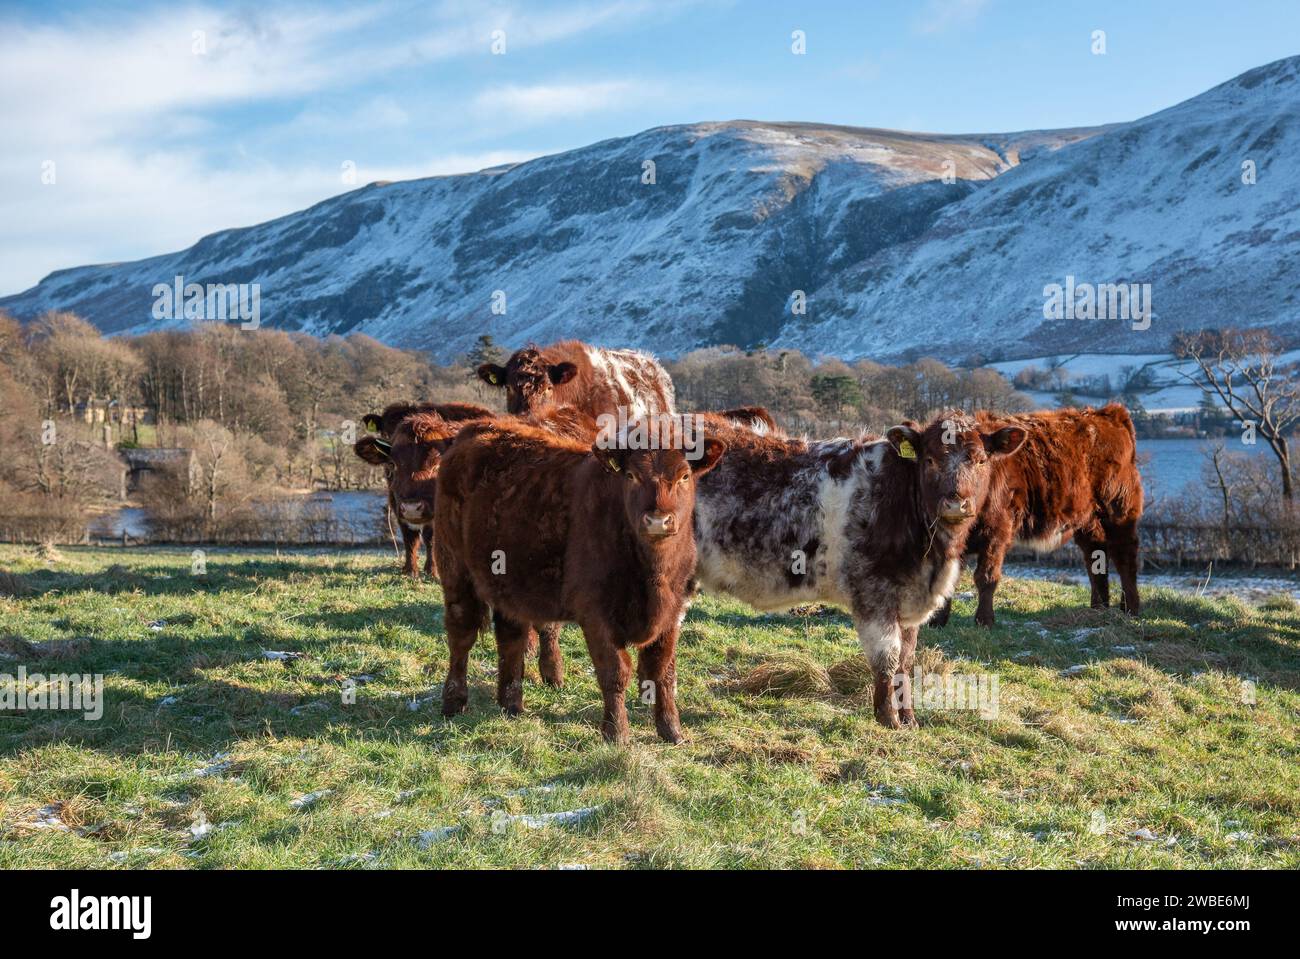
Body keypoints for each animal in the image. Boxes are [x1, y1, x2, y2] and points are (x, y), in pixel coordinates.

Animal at [354, 401, 494, 578]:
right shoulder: (397, 503)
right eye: (393, 463)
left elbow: (431, 537)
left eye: (438, 464)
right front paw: (410, 570)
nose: (412, 508)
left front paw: (432, 570)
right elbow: (410, 537)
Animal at [432, 415, 725, 743]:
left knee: (511, 638)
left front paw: (671, 730)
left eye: (684, 476)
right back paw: (454, 701)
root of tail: (480, 426)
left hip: (508, 583)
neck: (653, 575)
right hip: (455, 569)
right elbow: (615, 672)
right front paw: (616, 732)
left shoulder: (673, 613)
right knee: (461, 634)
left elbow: (662, 672)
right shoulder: (595, 613)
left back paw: (512, 704)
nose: (658, 521)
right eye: (632, 476)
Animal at [690, 411, 1027, 728]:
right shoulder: (874, 593)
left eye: (981, 460)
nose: (956, 503)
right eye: (930, 460)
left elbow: (907, 660)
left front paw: (909, 718)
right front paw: (888, 718)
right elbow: (887, 659)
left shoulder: (909, 602)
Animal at [929, 403, 1143, 628]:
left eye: (981, 461)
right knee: (1095, 552)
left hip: (1118, 508)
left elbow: (986, 576)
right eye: (931, 461)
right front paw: (937, 622)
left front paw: (984, 621)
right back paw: (1099, 608)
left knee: (1124, 553)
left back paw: (1130, 609)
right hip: (1088, 518)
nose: (955, 502)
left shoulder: (997, 531)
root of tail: (1107, 413)